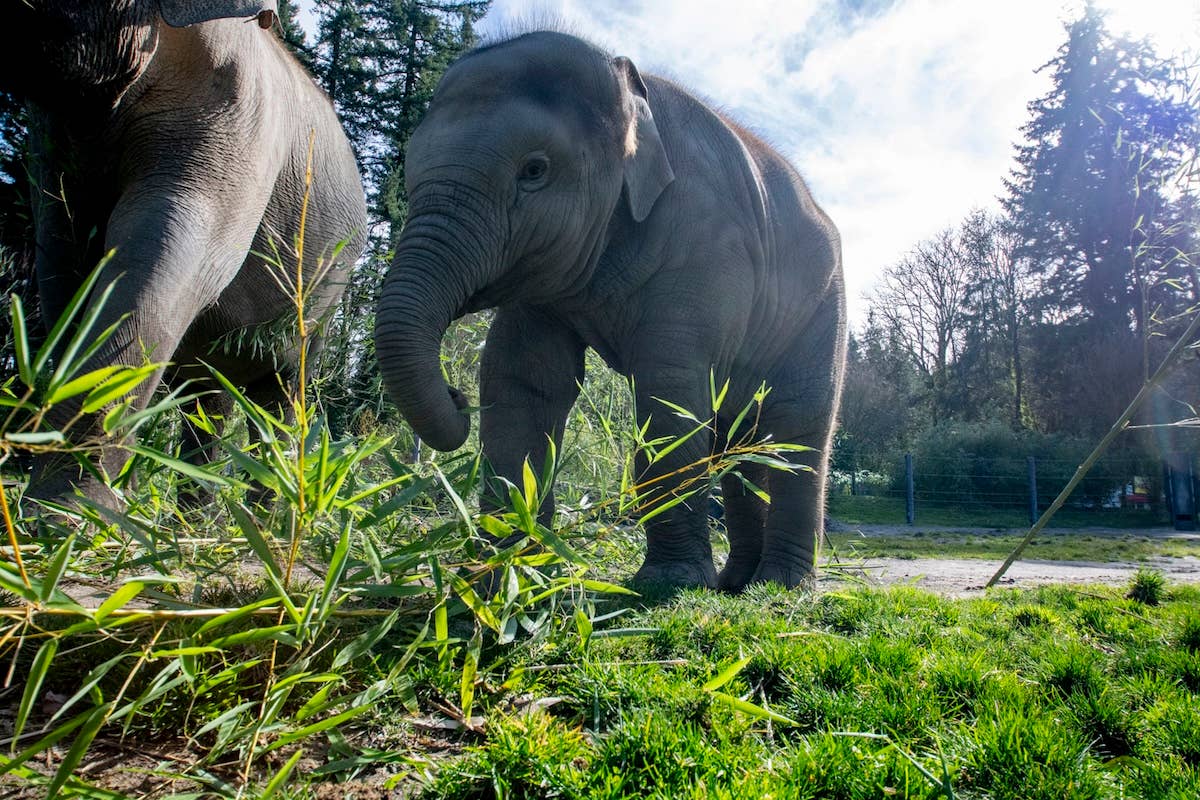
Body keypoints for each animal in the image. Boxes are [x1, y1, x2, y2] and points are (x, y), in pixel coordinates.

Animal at [2, 1, 368, 509]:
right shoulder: (54, 142)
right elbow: (62, 260)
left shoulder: (234, 119)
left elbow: (164, 261)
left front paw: (66, 511)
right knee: (208, 399)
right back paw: (196, 512)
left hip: (322, 305)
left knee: (279, 397)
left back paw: (267, 511)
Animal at [375, 31, 846, 591]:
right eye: (410, 166)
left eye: (534, 170)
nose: (456, 395)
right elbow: (523, 379)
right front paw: (505, 575)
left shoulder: (706, 246)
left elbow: (668, 388)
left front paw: (670, 583)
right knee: (741, 438)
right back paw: (737, 584)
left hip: (824, 308)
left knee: (798, 427)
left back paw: (782, 585)